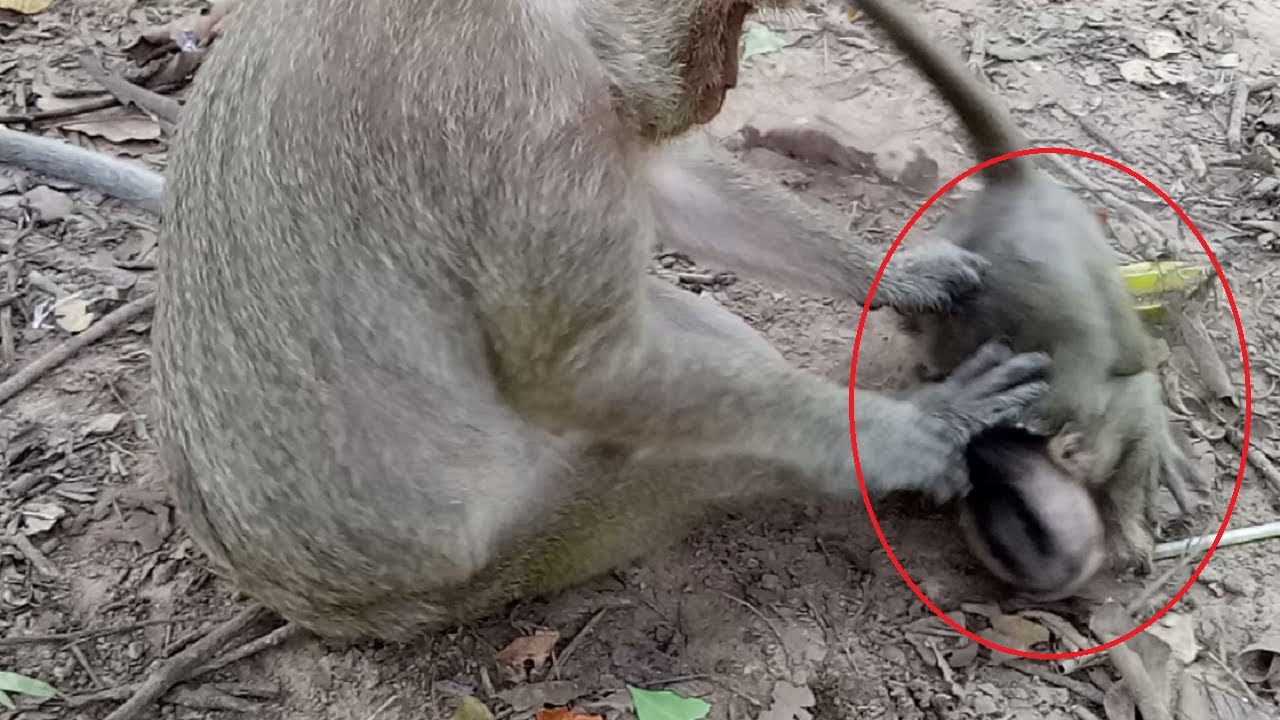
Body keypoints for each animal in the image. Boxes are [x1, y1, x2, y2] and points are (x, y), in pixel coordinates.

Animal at [0, 0, 1056, 640]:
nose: (721, 84)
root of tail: (320, 602)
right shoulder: (525, 91)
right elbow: (575, 371)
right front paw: (911, 433)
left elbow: (668, 185)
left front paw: (908, 275)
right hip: (522, 547)